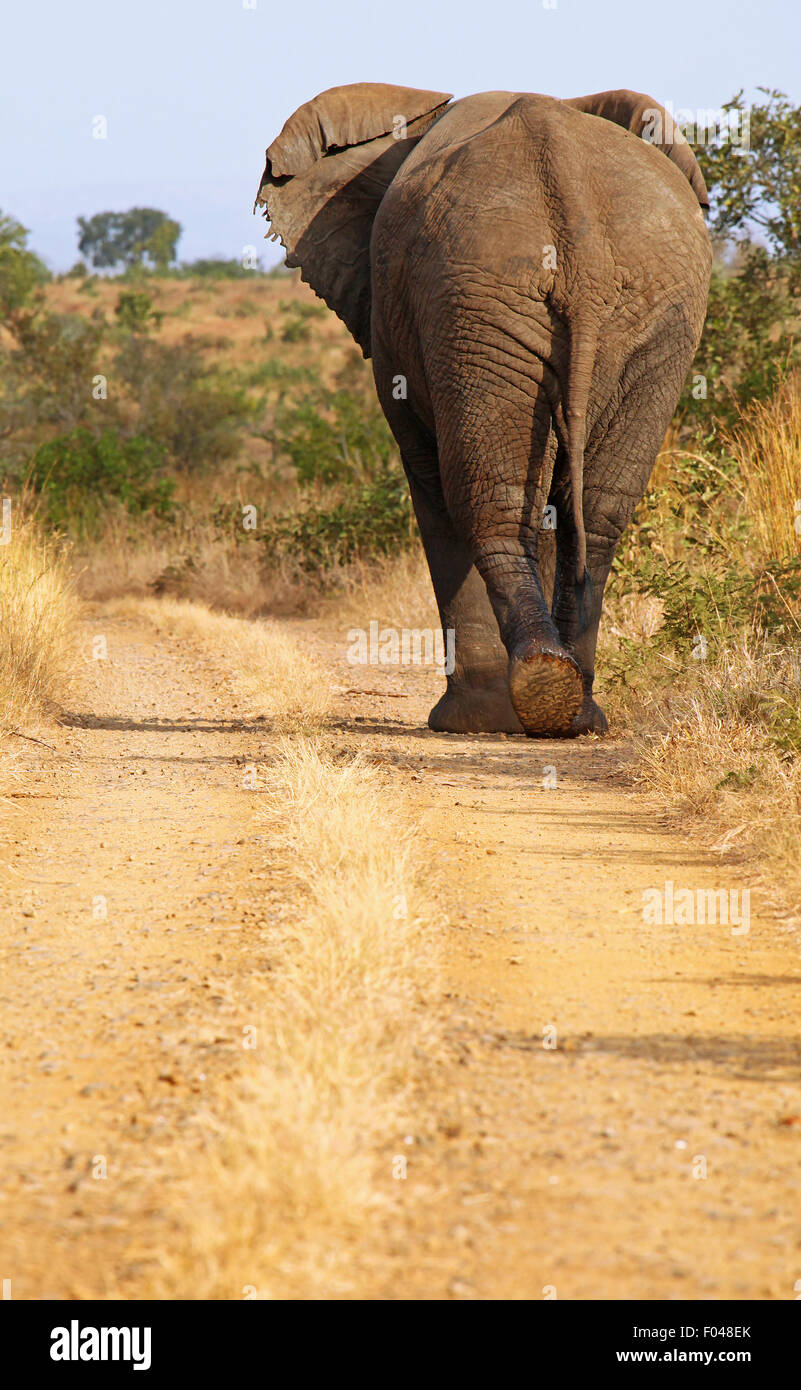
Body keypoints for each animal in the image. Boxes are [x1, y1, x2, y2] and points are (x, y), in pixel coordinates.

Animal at [255, 84, 711, 736]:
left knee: (484, 498)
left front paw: (467, 721)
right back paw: (572, 708)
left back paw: (524, 700)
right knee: (594, 513)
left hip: (487, 302)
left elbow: (427, 476)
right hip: (623, 311)